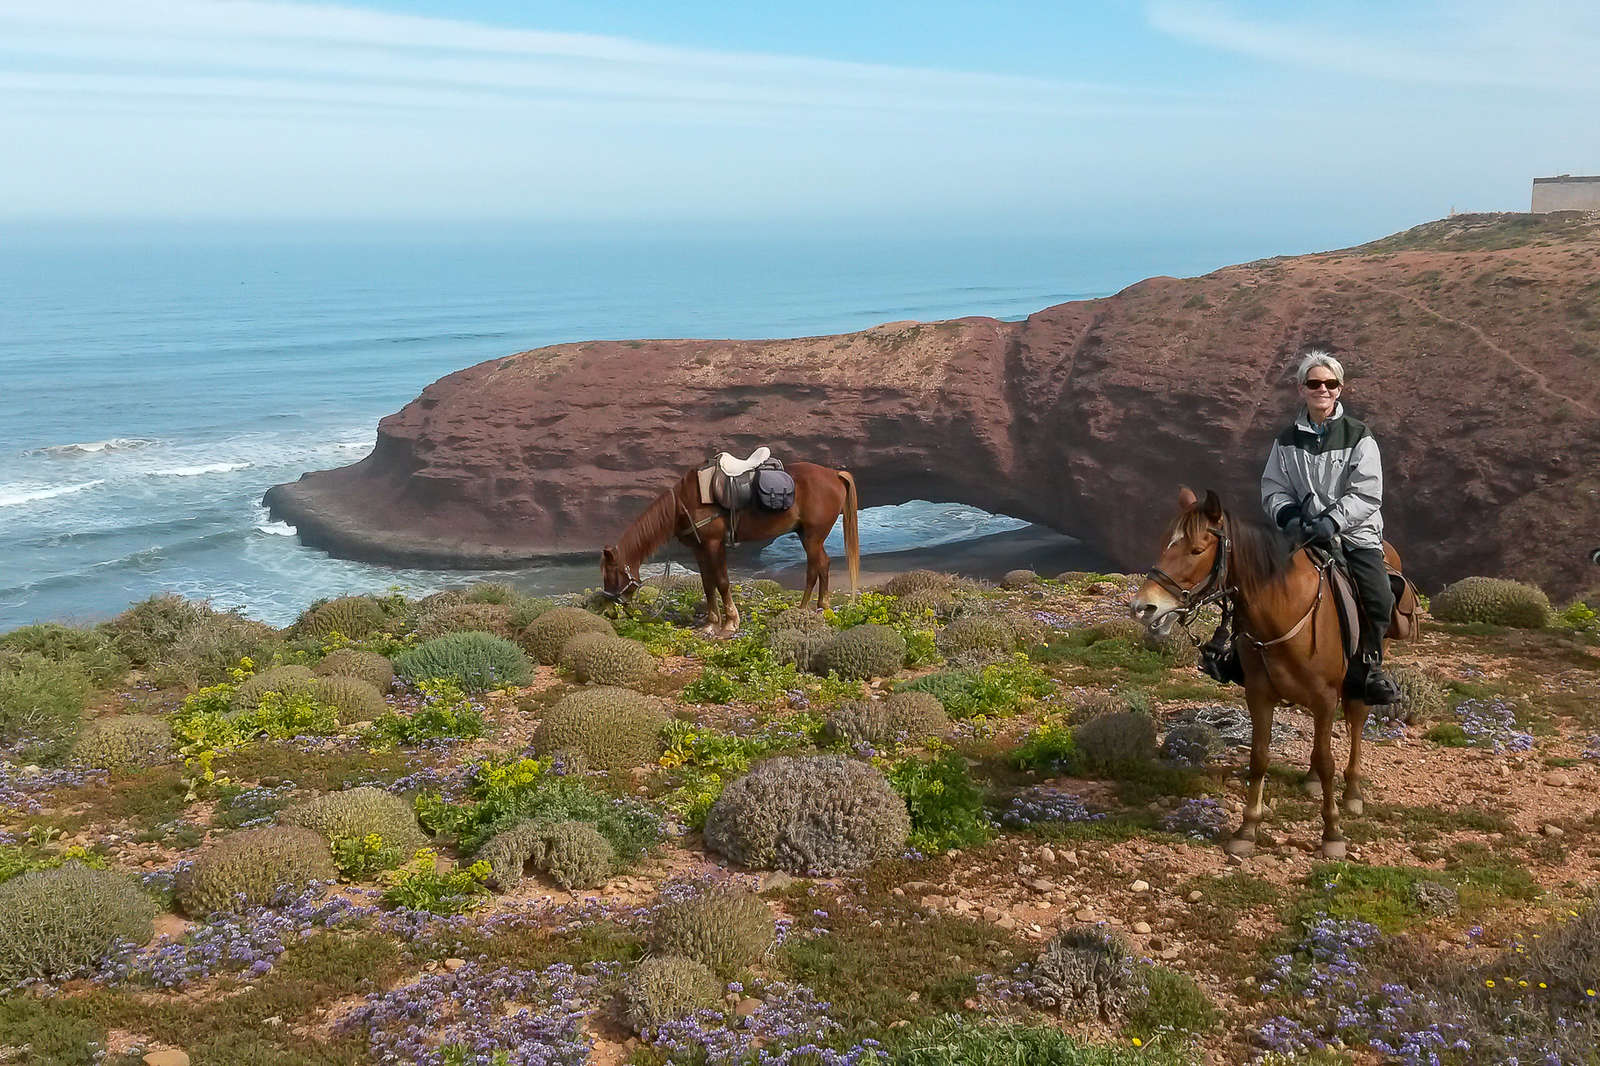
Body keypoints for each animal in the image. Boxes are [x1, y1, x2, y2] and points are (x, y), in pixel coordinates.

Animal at [600, 462, 860, 637]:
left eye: (611, 573)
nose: (610, 610)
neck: (684, 503)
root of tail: (835, 474)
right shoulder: (700, 549)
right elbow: (708, 584)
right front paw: (710, 623)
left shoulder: (714, 544)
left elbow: (723, 582)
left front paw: (730, 623)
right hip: (806, 534)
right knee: (822, 565)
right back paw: (820, 607)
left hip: (813, 536)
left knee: (815, 568)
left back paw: (806, 609)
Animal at [1129, 487, 1405, 860]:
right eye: (1163, 542)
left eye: (1197, 549)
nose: (1143, 607)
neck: (1285, 608)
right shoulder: (1259, 695)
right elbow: (1259, 757)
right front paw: (1247, 829)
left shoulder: (1325, 696)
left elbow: (1327, 759)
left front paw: (1332, 833)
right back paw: (1312, 780)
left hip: (1360, 679)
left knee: (1357, 724)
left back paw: (1352, 793)